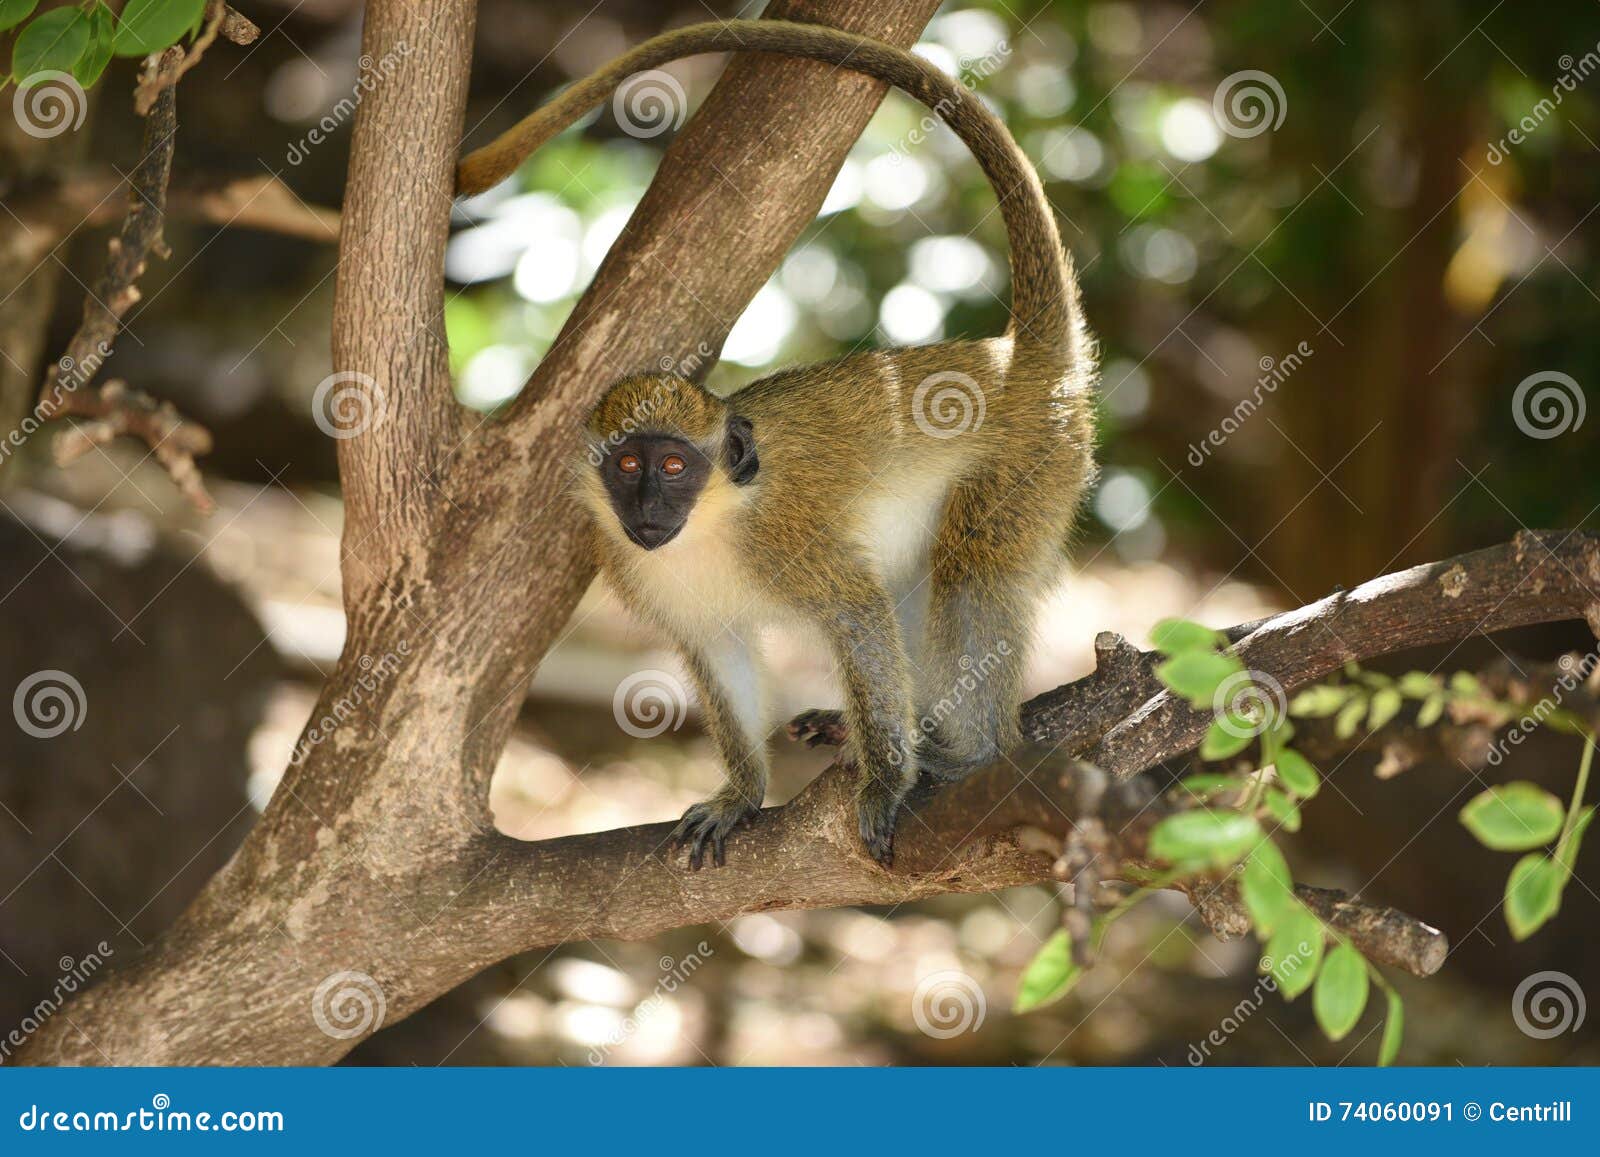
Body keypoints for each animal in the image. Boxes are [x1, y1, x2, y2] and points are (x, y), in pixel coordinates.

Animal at [456, 20, 1097, 869]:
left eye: (673, 465)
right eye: (627, 465)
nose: (649, 507)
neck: (713, 521)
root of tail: (1013, 358)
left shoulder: (788, 540)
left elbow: (855, 609)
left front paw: (886, 780)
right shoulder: (640, 566)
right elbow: (722, 651)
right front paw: (741, 792)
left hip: (1030, 468)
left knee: (969, 572)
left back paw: (973, 751)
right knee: (918, 578)